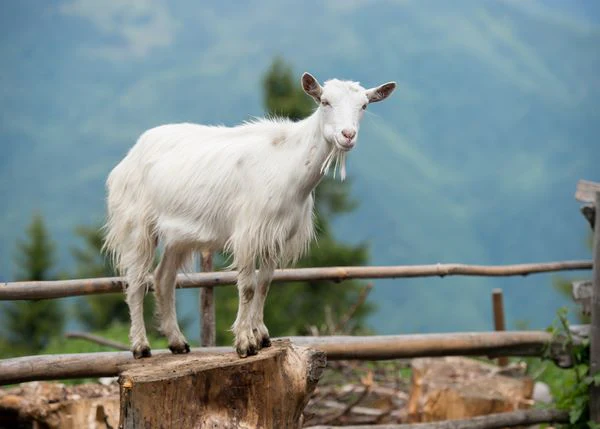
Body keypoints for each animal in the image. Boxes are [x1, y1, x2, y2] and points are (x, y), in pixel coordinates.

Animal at [104, 72, 394, 356]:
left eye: (364, 106)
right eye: (324, 102)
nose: (347, 135)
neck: (288, 164)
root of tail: (129, 157)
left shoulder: (276, 236)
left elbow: (264, 283)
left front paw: (262, 336)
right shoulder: (247, 233)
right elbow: (248, 287)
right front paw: (245, 343)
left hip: (179, 236)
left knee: (163, 278)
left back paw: (178, 342)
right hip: (137, 224)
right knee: (136, 281)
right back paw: (140, 346)